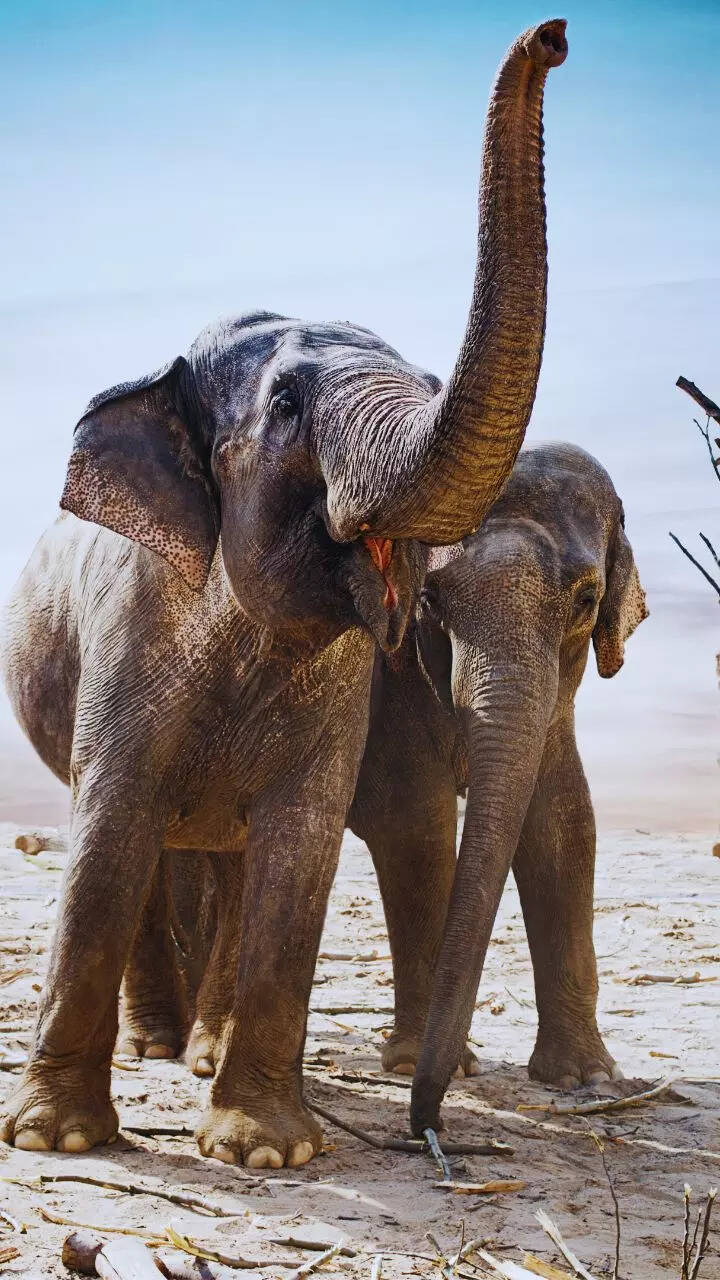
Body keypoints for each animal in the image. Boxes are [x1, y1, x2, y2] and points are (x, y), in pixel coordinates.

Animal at [0, 21, 569, 1168]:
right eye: (290, 402)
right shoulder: (128, 629)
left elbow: (300, 846)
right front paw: (54, 1139)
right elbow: (110, 828)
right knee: (150, 851)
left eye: (424, 380)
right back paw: (157, 1050)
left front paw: (264, 1149)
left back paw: (205, 1054)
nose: (554, 37)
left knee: (224, 860)